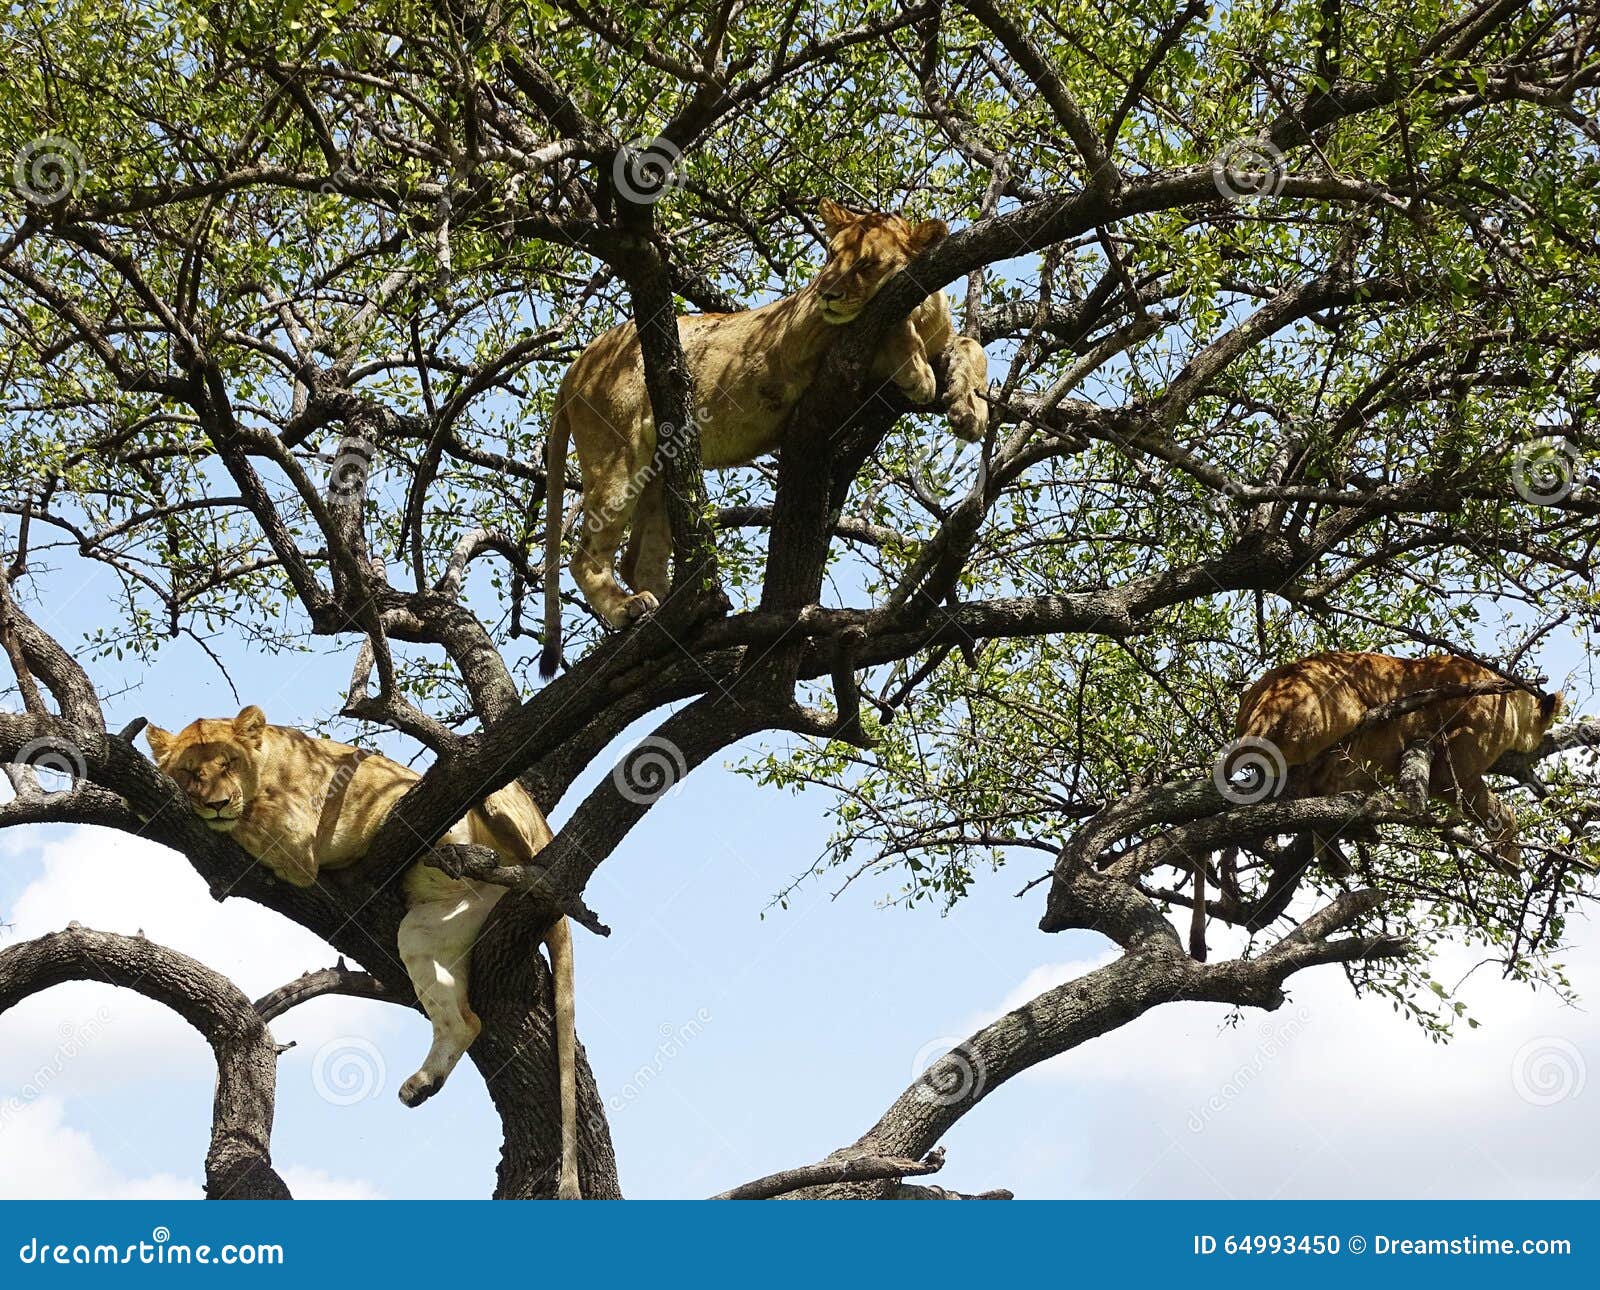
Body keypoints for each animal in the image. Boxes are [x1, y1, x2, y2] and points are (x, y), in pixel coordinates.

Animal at [144, 706, 580, 1199]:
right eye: (189, 772)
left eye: (228, 764)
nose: (216, 801)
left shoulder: (295, 843)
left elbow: (244, 821)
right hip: (423, 929)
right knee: (465, 1020)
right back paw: (421, 1086)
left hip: (502, 806)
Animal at [539, 197, 990, 674]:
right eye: (830, 256)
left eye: (866, 264)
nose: (827, 292)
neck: (925, 316)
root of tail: (576, 365)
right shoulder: (801, 329)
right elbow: (882, 316)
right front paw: (920, 375)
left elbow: (971, 346)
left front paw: (970, 411)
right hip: (618, 455)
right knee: (585, 555)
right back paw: (628, 608)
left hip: (658, 469)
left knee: (636, 559)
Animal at [1234, 651, 1564, 868]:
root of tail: (1260, 713)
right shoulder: (1452, 771)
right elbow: (1498, 811)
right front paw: (1511, 859)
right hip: (1347, 710)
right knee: (1315, 786)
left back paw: (1341, 852)